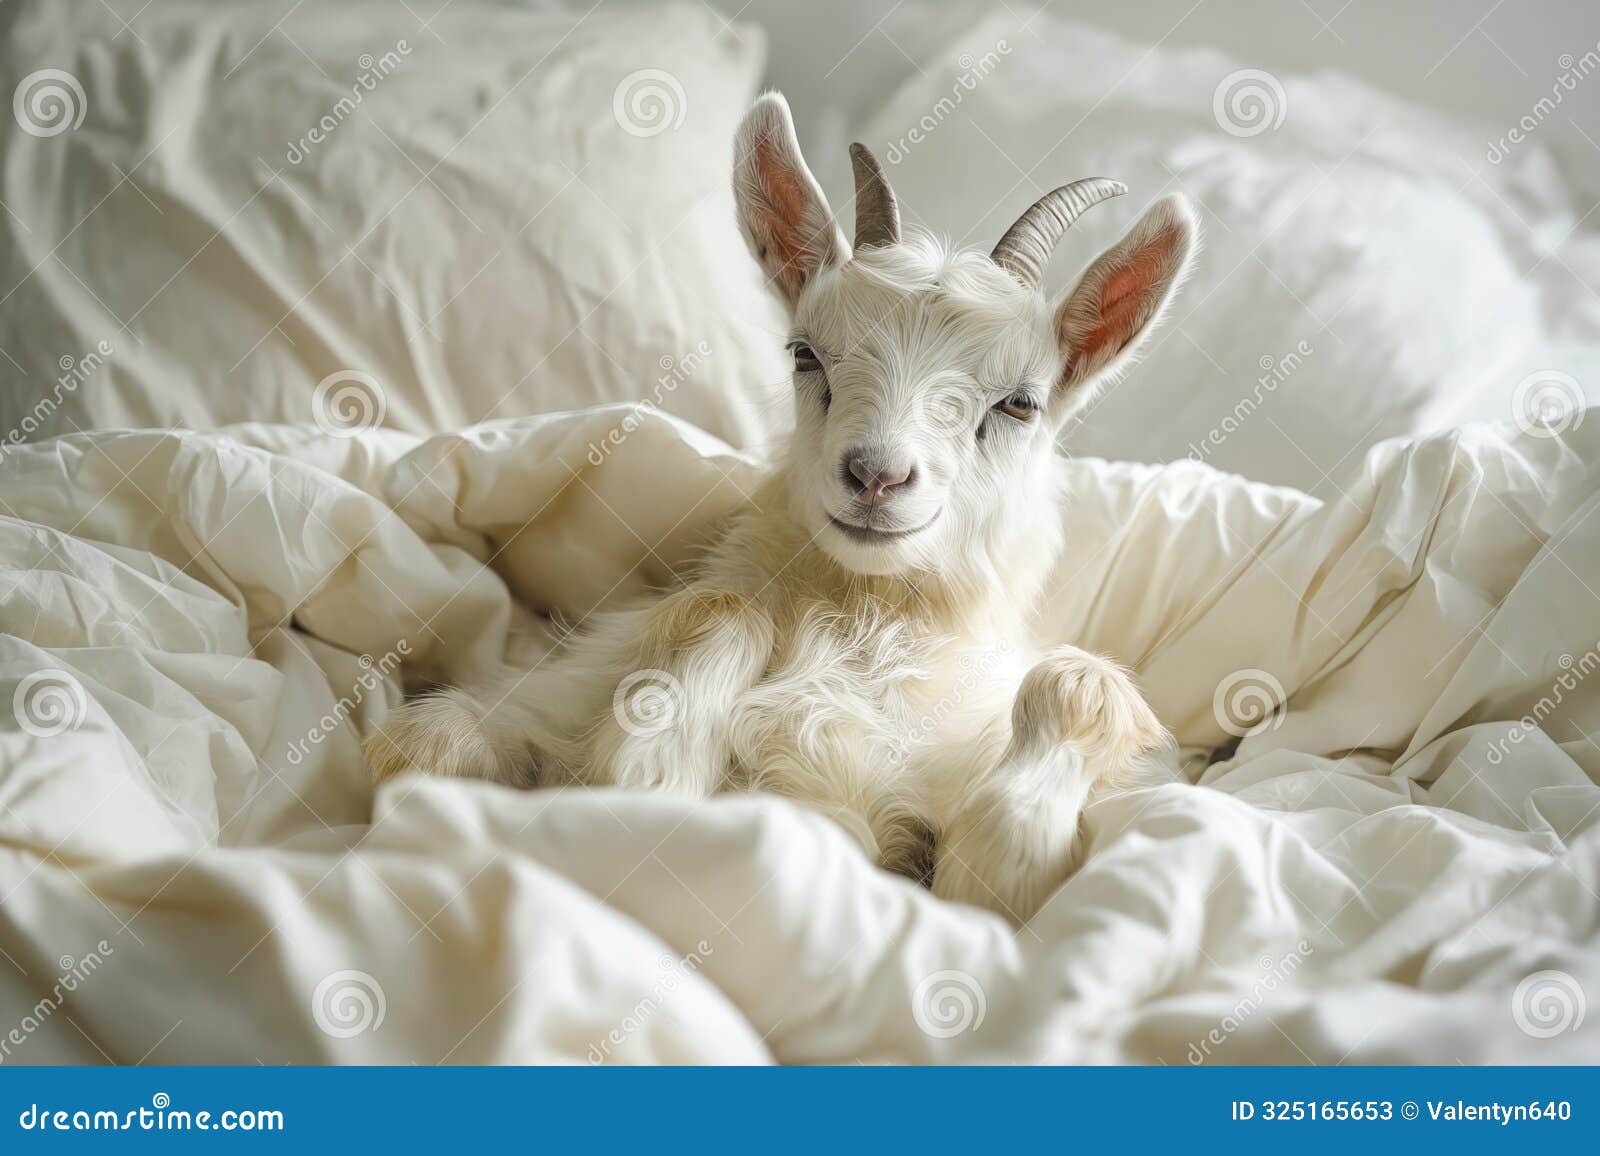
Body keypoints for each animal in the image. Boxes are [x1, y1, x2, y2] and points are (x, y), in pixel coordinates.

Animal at [367, 92, 1197, 924]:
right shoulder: (543, 691)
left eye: (1021, 402)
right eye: (806, 355)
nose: (875, 477)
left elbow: (1005, 857)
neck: (863, 616)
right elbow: (437, 742)